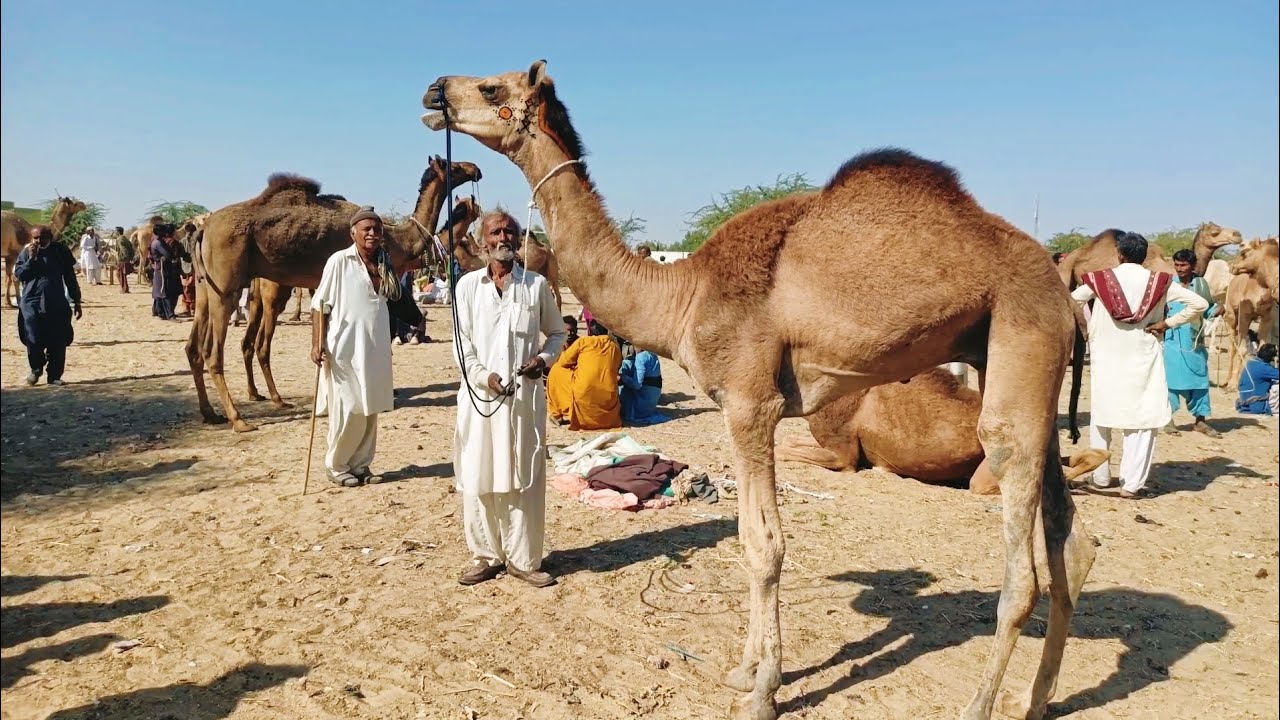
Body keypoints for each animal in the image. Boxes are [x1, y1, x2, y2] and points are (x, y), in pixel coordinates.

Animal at [186, 156, 481, 431]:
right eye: (453, 166)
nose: (475, 168)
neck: (397, 240)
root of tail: (203, 229)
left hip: (206, 288)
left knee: (196, 347)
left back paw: (212, 412)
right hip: (228, 288)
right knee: (217, 352)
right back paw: (240, 419)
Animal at [1223, 237, 1279, 386]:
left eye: (1245, 252)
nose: (1232, 265)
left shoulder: (1268, 317)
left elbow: (1264, 347)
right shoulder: (1244, 314)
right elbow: (1242, 349)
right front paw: (1233, 384)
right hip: (1231, 314)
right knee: (1232, 345)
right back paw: (1227, 380)